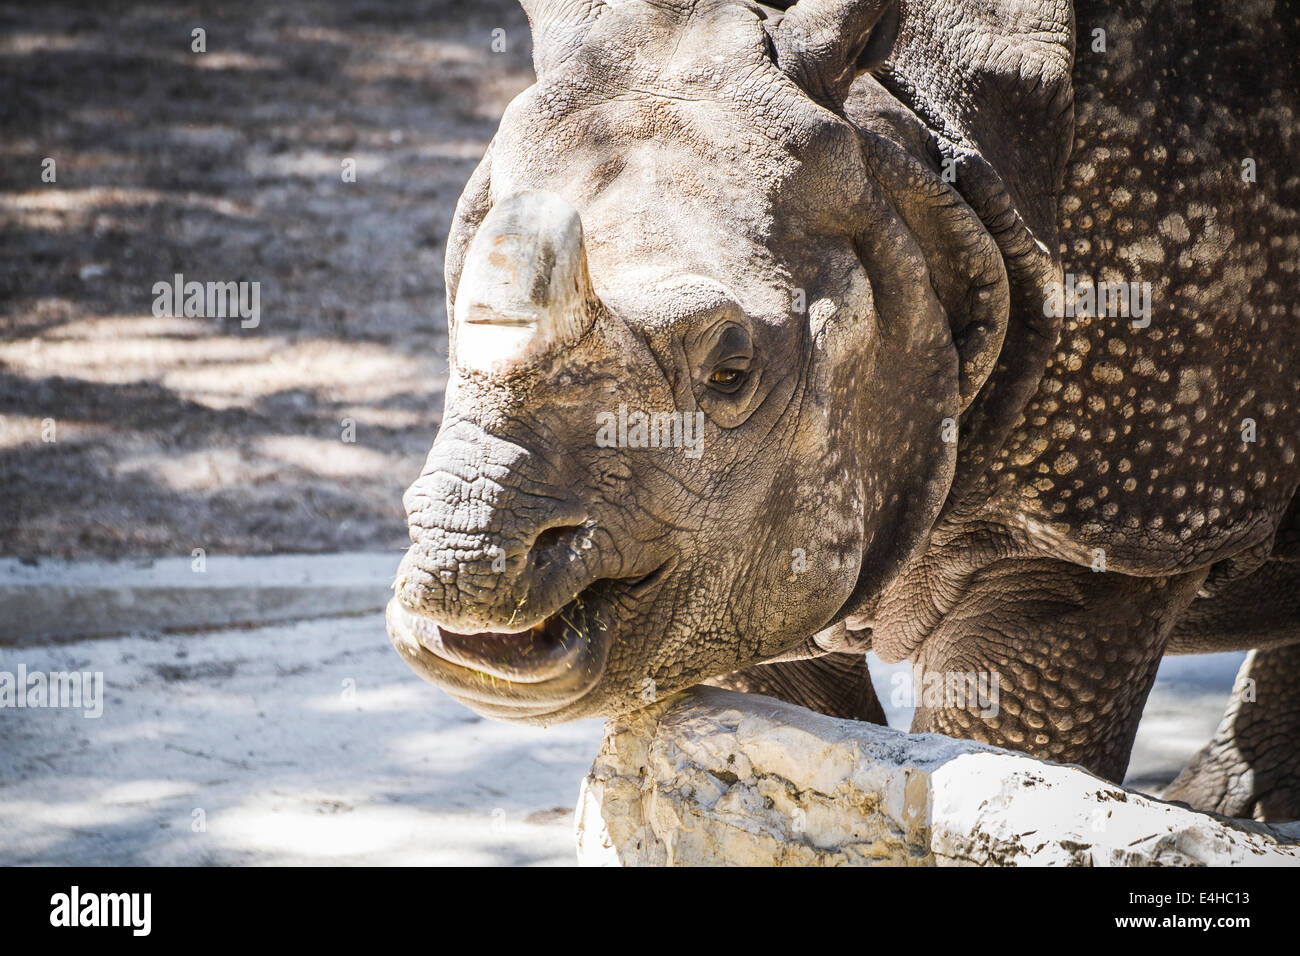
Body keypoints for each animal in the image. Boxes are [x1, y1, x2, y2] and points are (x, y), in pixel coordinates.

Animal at [387, 0, 1300, 821]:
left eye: (730, 373)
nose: (462, 568)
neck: (908, 168)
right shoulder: (731, 560)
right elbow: (803, 736)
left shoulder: (1121, 526)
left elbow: (1011, 747)